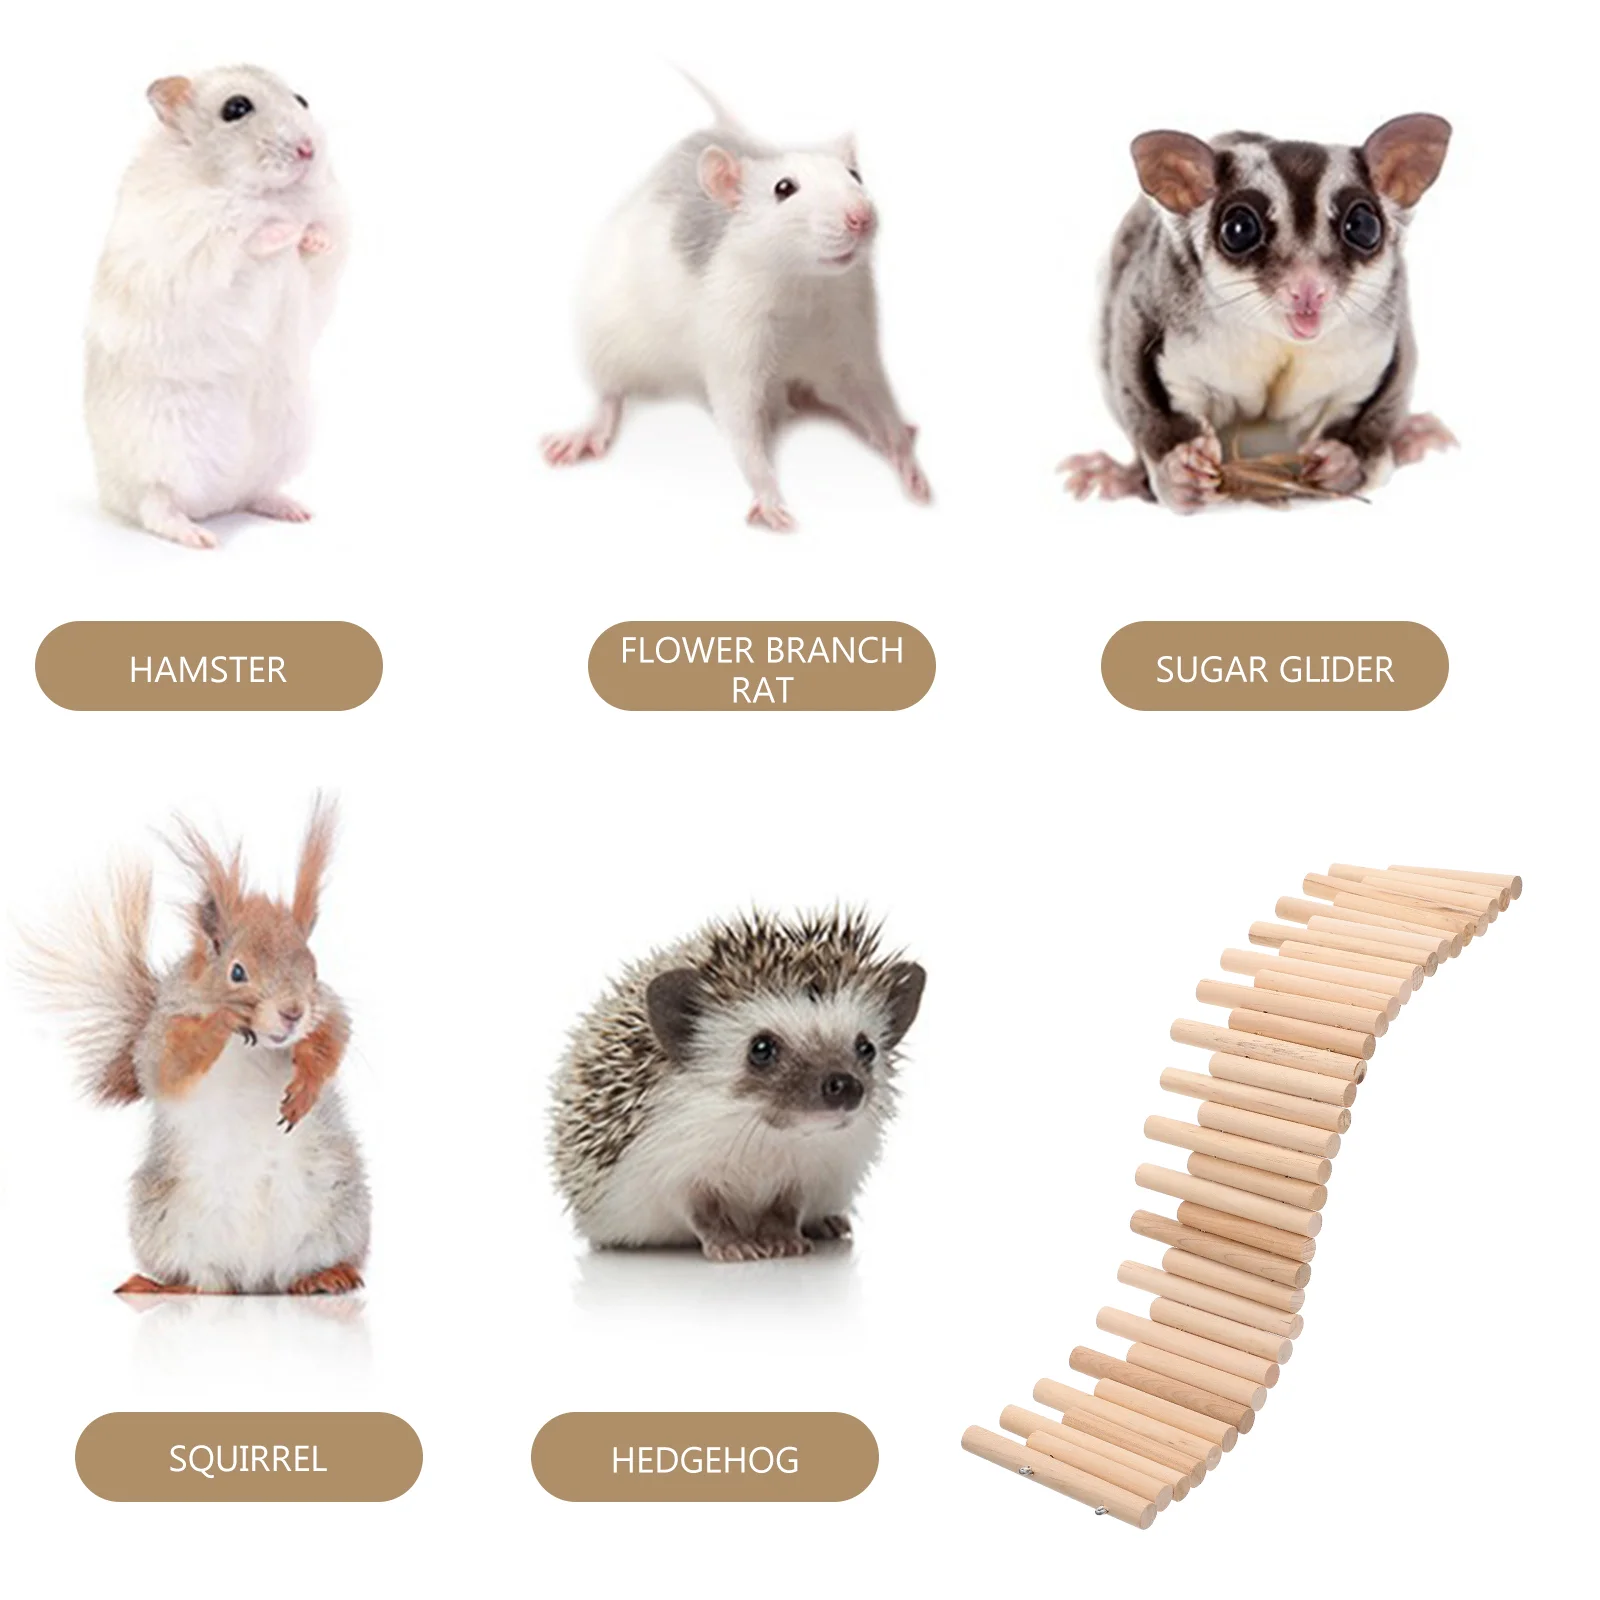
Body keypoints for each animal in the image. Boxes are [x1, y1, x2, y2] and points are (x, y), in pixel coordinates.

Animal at [84, 67, 347, 549]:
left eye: (302, 99)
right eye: (236, 108)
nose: (309, 149)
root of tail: (215, 503)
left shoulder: (333, 231)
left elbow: (322, 241)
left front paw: (310, 236)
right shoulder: (189, 237)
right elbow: (243, 235)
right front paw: (283, 228)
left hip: (286, 437)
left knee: (255, 491)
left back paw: (295, 511)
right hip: (159, 447)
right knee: (155, 505)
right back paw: (201, 538)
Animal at [543, 79, 930, 530]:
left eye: (855, 176)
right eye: (784, 188)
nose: (861, 217)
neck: (805, 287)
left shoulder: (851, 331)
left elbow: (873, 393)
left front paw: (906, 460)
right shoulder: (734, 336)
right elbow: (738, 415)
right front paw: (769, 496)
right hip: (604, 336)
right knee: (610, 393)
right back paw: (588, 430)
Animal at [1061, 115, 1455, 511]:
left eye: (1363, 226)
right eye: (1239, 229)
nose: (1308, 289)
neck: (1280, 341)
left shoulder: (1385, 333)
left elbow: (1379, 400)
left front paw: (1342, 460)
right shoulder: (1152, 303)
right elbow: (1141, 384)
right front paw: (1181, 469)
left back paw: (1412, 438)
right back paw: (1115, 475)